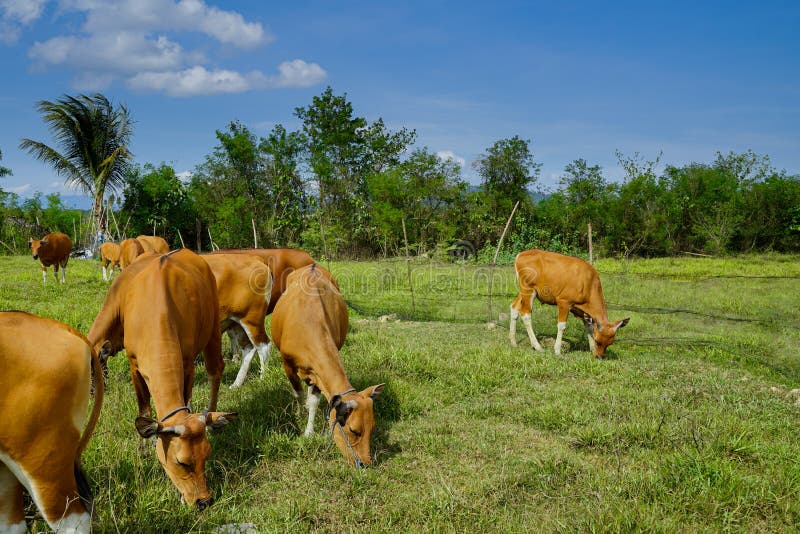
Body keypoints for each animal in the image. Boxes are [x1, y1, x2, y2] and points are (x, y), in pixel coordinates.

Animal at [87, 249, 235, 509]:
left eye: (207, 455)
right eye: (181, 462)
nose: (204, 500)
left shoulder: (187, 361)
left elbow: (187, 398)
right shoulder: (134, 364)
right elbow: (144, 407)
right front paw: (143, 449)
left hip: (213, 328)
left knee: (215, 369)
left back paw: (213, 415)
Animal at [201, 253, 274, 388]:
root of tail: (255, 259)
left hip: (251, 318)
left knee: (264, 345)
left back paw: (262, 379)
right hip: (236, 322)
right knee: (249, 347)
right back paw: (236, 384)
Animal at [270, 263, 384, 467]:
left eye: (372, 428)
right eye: (354, 430)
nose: (366, 463)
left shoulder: (318, 373)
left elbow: (314, 400)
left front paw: (309, 430)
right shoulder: (287, 363)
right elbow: (297, 393)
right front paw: (300, 415)